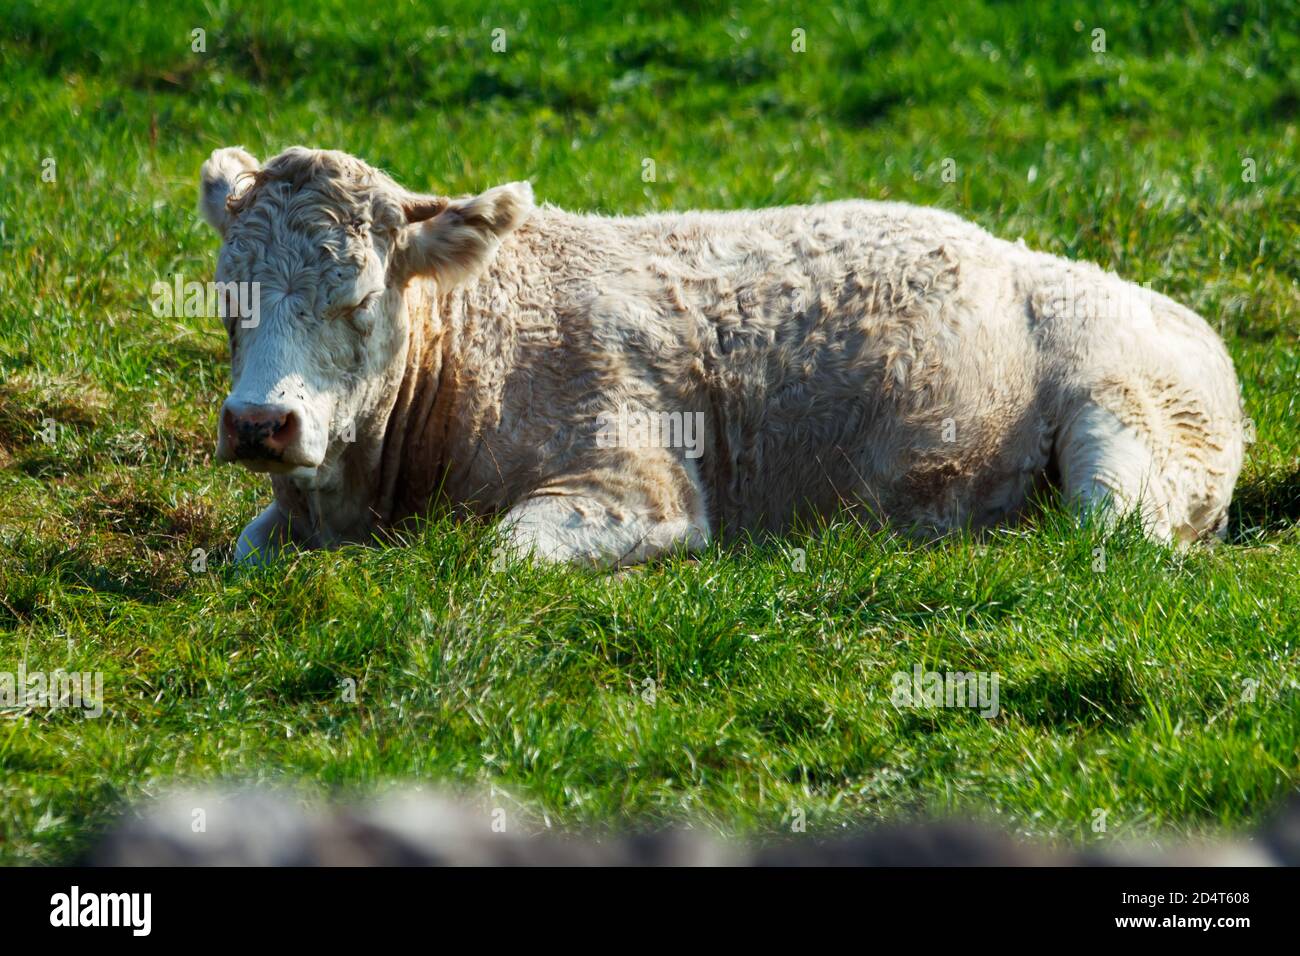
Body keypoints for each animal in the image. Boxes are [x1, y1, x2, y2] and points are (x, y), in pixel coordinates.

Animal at [197, 146, 1244, 568]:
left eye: (359, 296)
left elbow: (501, 555)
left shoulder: (639, 477)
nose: (259, 422)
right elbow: (244, 551)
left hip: (1130, 438)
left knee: (1114, 543)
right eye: (226, 297)